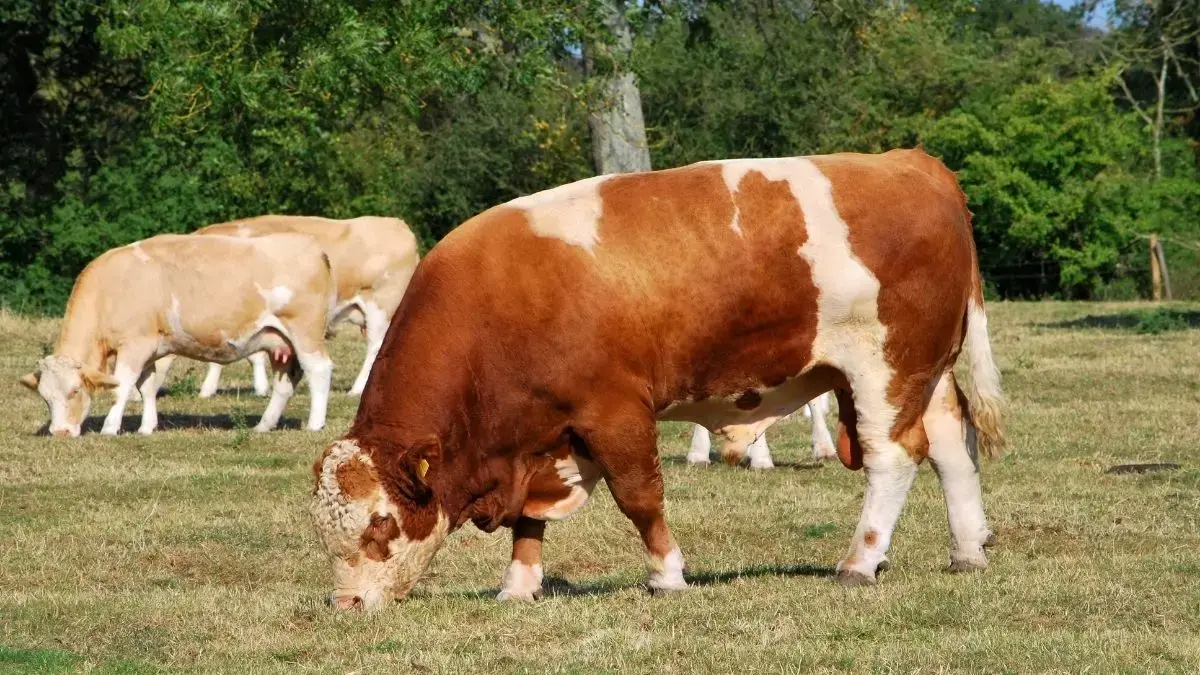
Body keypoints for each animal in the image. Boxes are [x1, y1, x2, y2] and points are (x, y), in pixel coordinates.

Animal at [20, 234, 335, 437]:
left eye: (74, 390)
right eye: (45, 398)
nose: (60, 432)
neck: (110, 290)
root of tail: (312, 248)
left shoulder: (134, 345)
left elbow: (122, 387)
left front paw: (110, 427)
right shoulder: (150, 349)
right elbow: (146, 387)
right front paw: (147, 427)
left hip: (305, 332)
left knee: (319, 369)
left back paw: (315, 424)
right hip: (280, 343)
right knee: (285, 384)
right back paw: (264, 425)